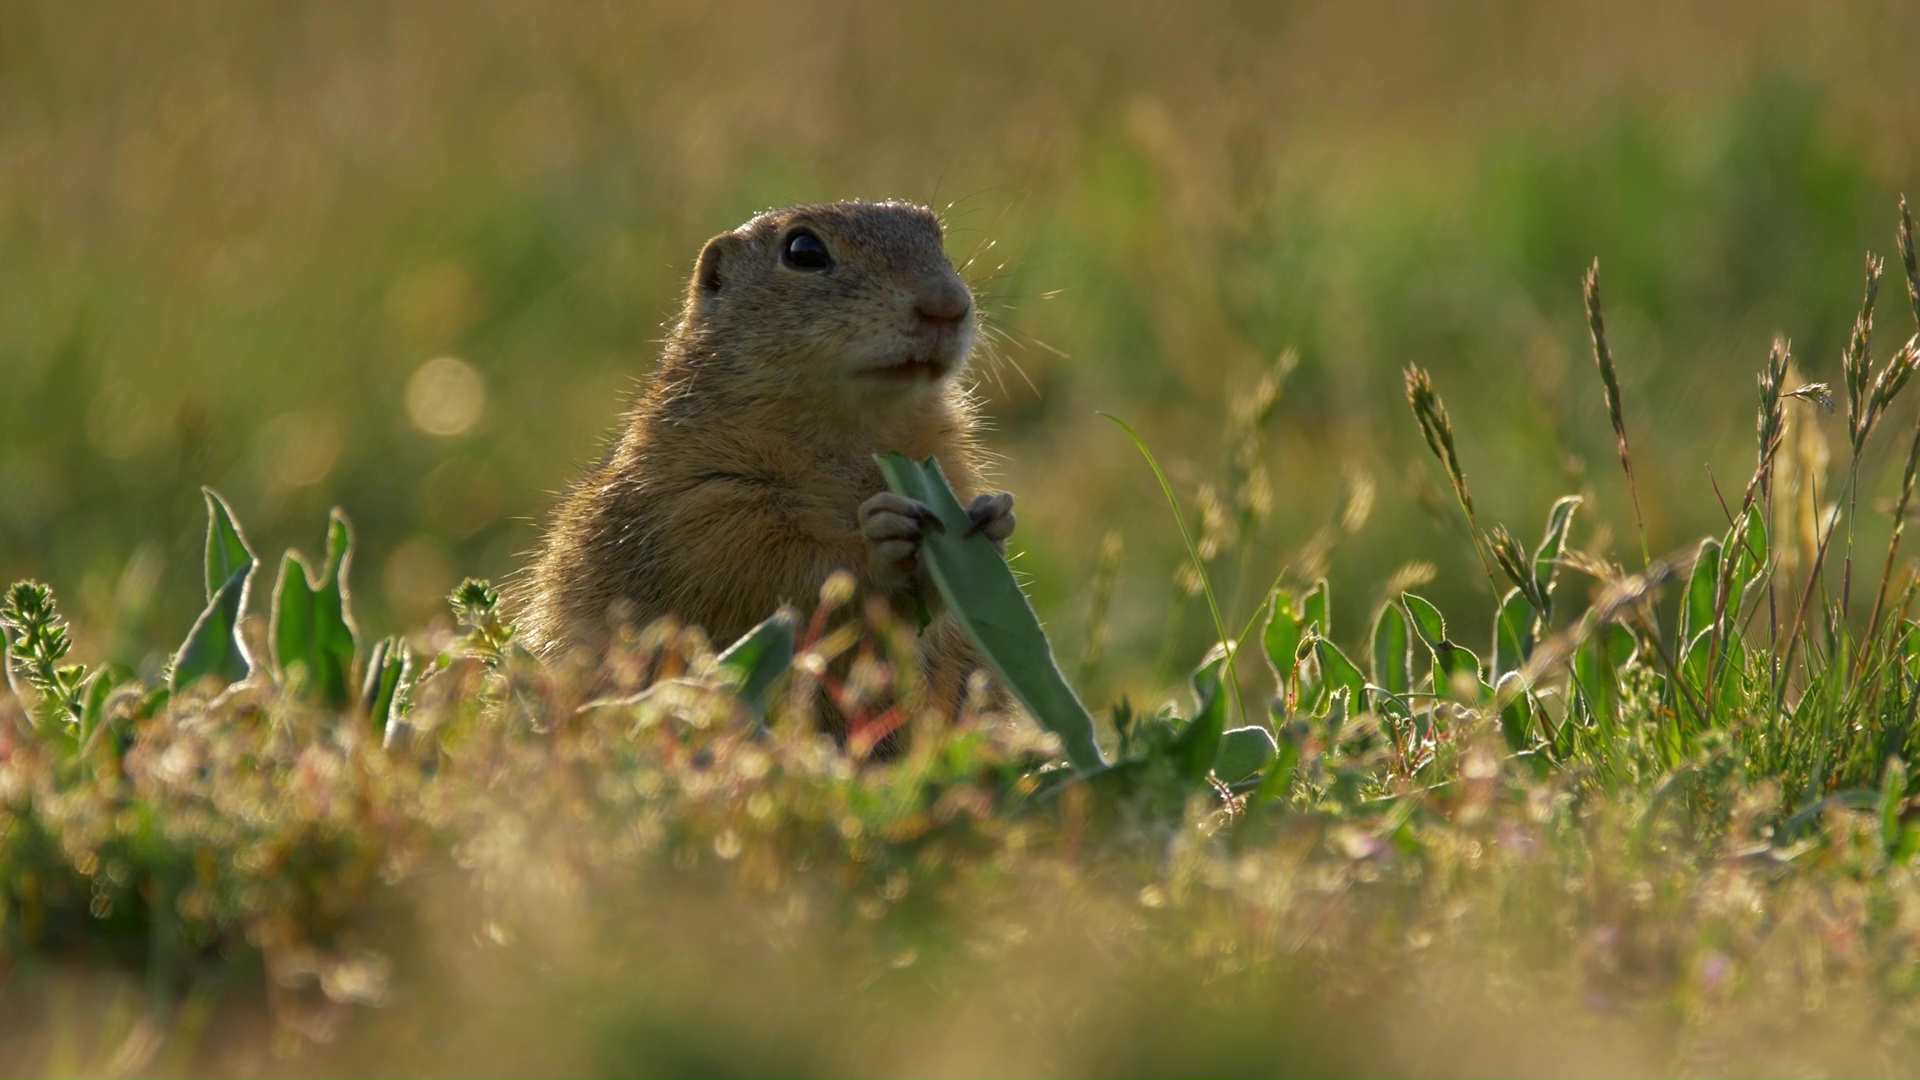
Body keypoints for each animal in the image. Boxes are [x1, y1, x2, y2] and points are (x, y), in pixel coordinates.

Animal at [518, 199, 1015, 717]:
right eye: (803, 251)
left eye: (936, 237)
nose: (947, 304)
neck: (857, 428)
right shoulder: (704, 492)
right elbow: (770, 564)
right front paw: (881, 535)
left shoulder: (945, 457)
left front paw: (992, 516)